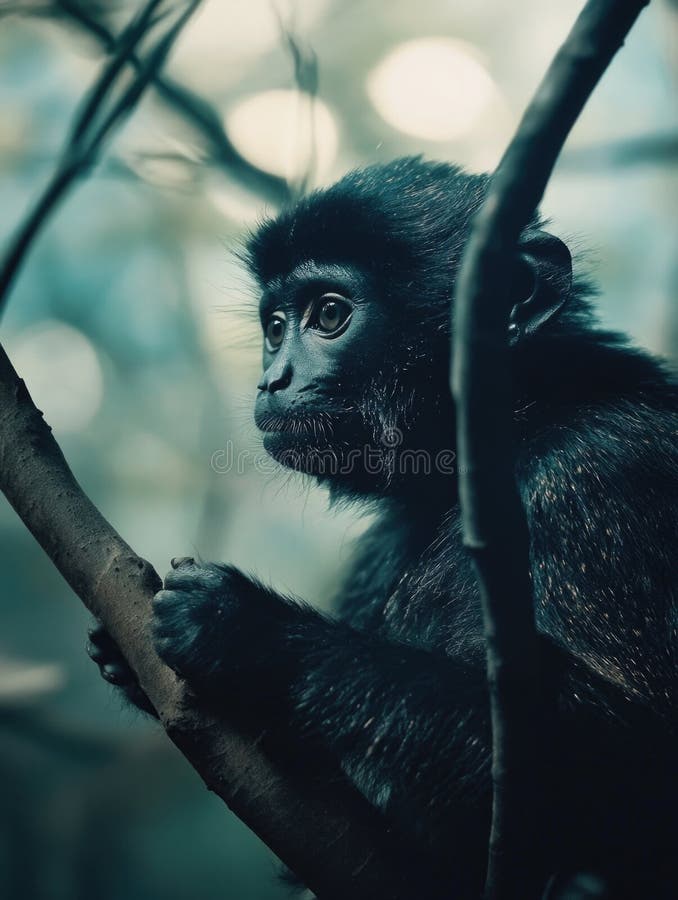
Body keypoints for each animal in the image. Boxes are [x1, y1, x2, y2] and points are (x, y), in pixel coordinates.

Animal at [89, 157, 677, 899]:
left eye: (329, 315)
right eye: (274, 325)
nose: (272, 378)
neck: (521, 420)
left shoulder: (599, 476)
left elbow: (630, 769)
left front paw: (250, 631)